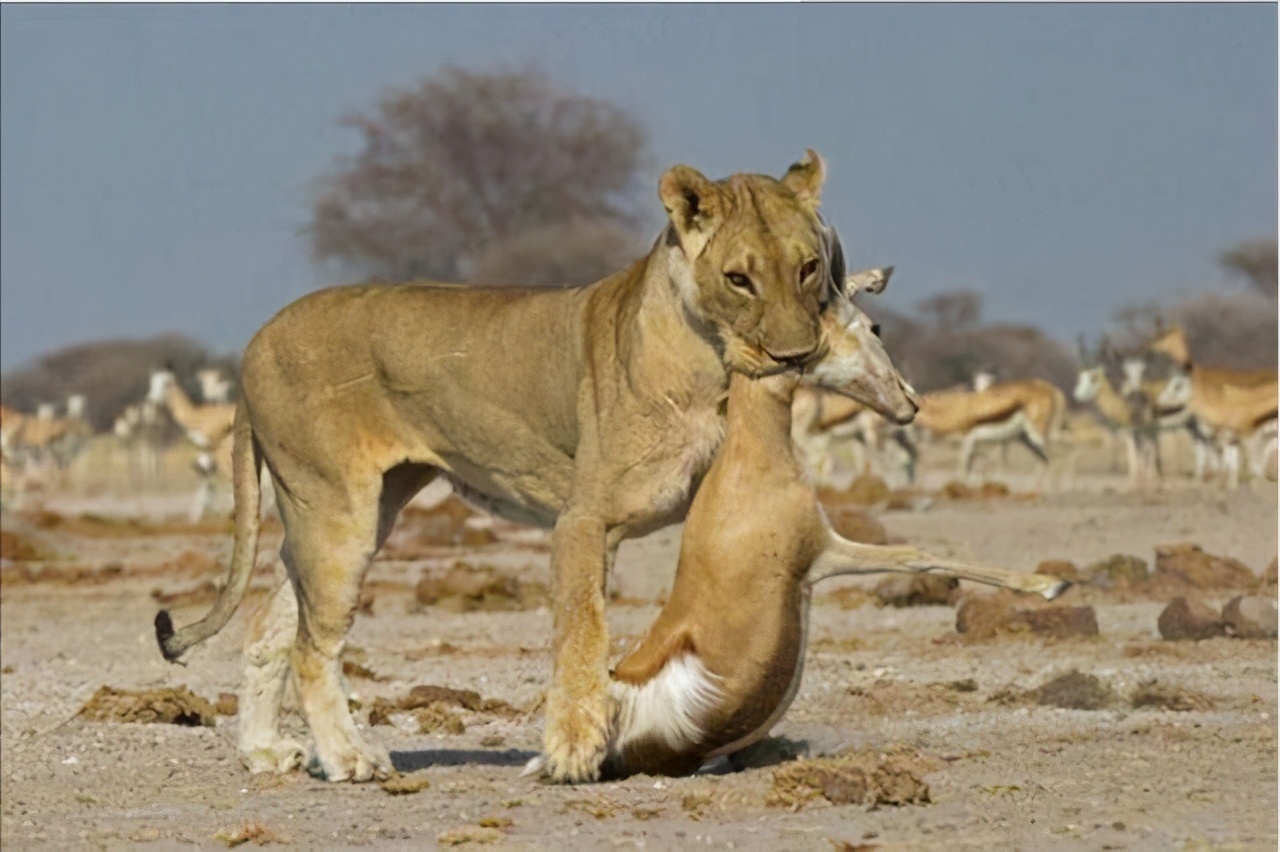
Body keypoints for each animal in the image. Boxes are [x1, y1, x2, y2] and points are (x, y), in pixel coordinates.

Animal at [156, 150, 855, 784]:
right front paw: (572, 755)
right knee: (311, 645)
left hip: (353, 512)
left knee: (268, 628)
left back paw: (265, 752)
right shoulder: (583, 519)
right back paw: (351, 759)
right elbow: (582, 634)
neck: (705, 362)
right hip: (334, 512)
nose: (796, 357)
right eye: (739, 279)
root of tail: (254, 343)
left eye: (807, 268)